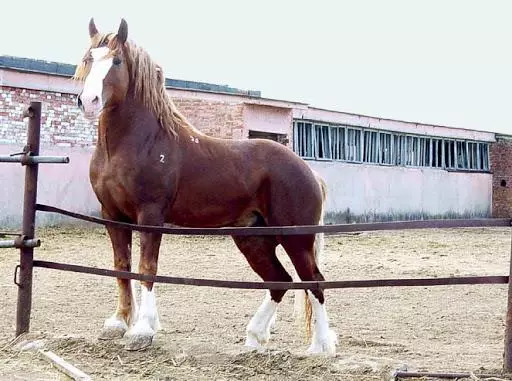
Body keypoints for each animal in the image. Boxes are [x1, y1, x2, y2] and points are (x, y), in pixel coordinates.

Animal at [72, 17, 336, 354]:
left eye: (116, 60)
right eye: (88, 58)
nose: (88, 102)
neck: (137, 143)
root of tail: (308, 171)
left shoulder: (150, 216)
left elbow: (146, 268)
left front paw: (142, 330)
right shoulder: (113, 216)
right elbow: (121, 267)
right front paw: (118, 323)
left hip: (296, 237)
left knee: (314, 280)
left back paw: (321, 347)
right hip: (252, 238)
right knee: (280, 280)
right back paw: (255, 337)